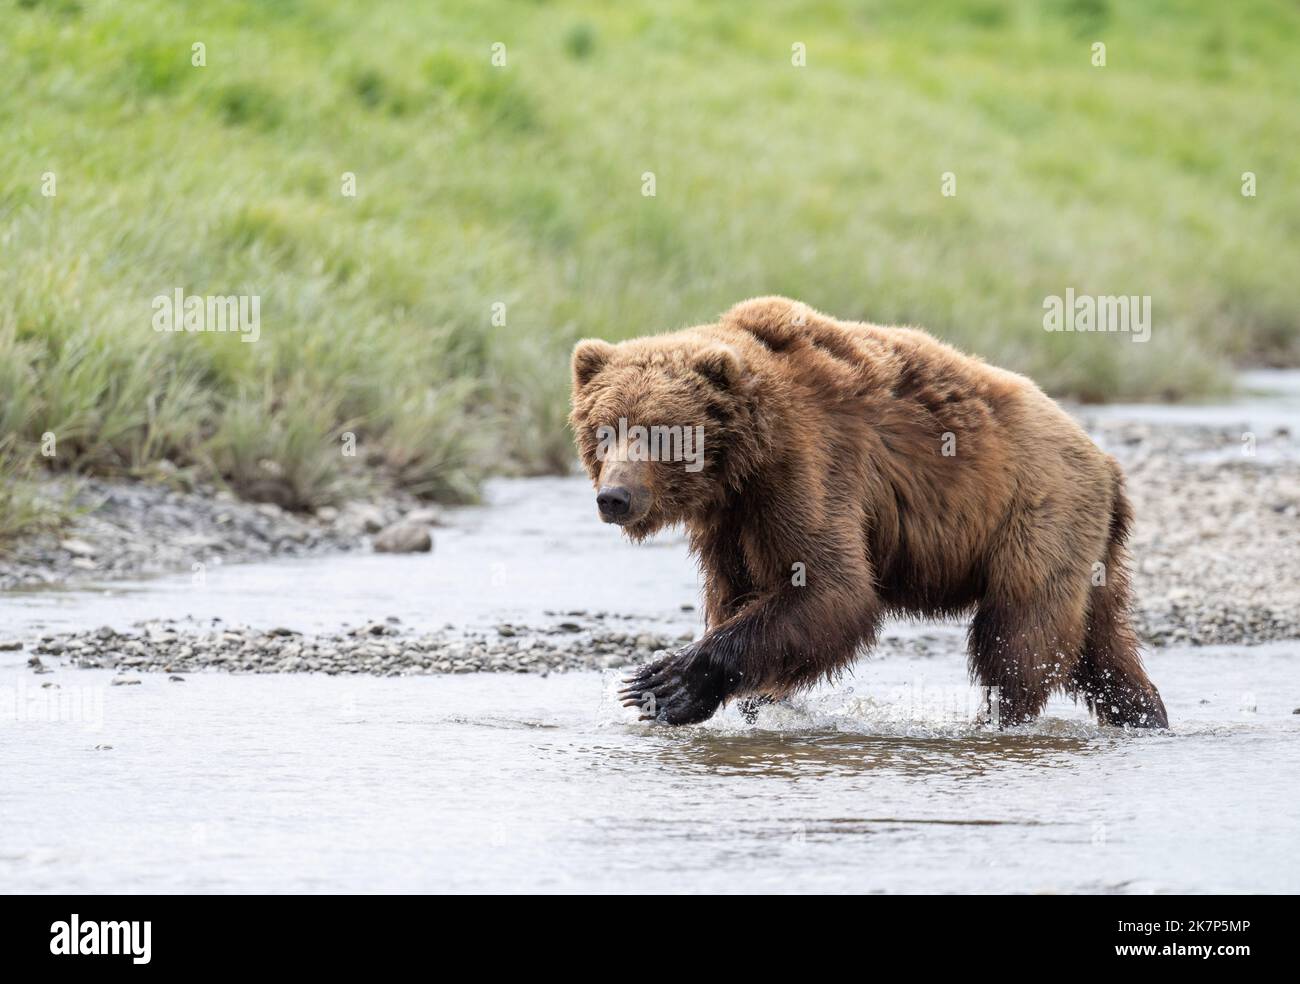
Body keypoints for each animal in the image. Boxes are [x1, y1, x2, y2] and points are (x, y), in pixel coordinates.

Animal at [569, 296, 1168, 729]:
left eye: (660, 433)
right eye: (605, 428)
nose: (615, 497)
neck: (745, 463)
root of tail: (1106, 462)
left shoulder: (810, 468)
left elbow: (831, 588)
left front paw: (664, 683)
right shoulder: (731, 522)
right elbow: (738, 592)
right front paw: (740, 700)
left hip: (1039, 511)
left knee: (1020, 632)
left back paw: (998, 720)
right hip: (1093, 550)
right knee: (1103, 647)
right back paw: (1143, 714)